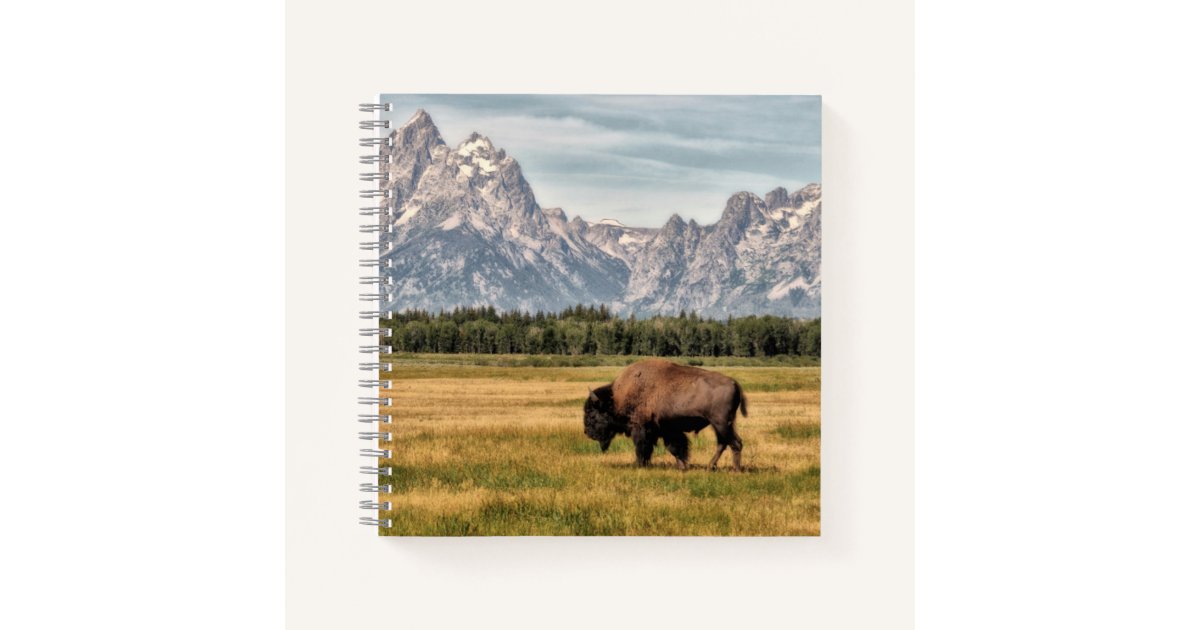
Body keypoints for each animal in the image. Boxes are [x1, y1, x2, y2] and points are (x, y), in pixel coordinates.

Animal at [583, 359, 748, 471]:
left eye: (592, 414)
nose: (587, 432)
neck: (615, 398)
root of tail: (734, 383)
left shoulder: (642, 428)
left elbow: (643, 447)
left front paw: (639, 465)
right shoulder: (668, 430)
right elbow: (675, 448)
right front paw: (682, 466)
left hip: (721, 423)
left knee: (735, 443)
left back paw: (735, 470)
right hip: (720, 425)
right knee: (723, 443)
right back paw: (710, 466)